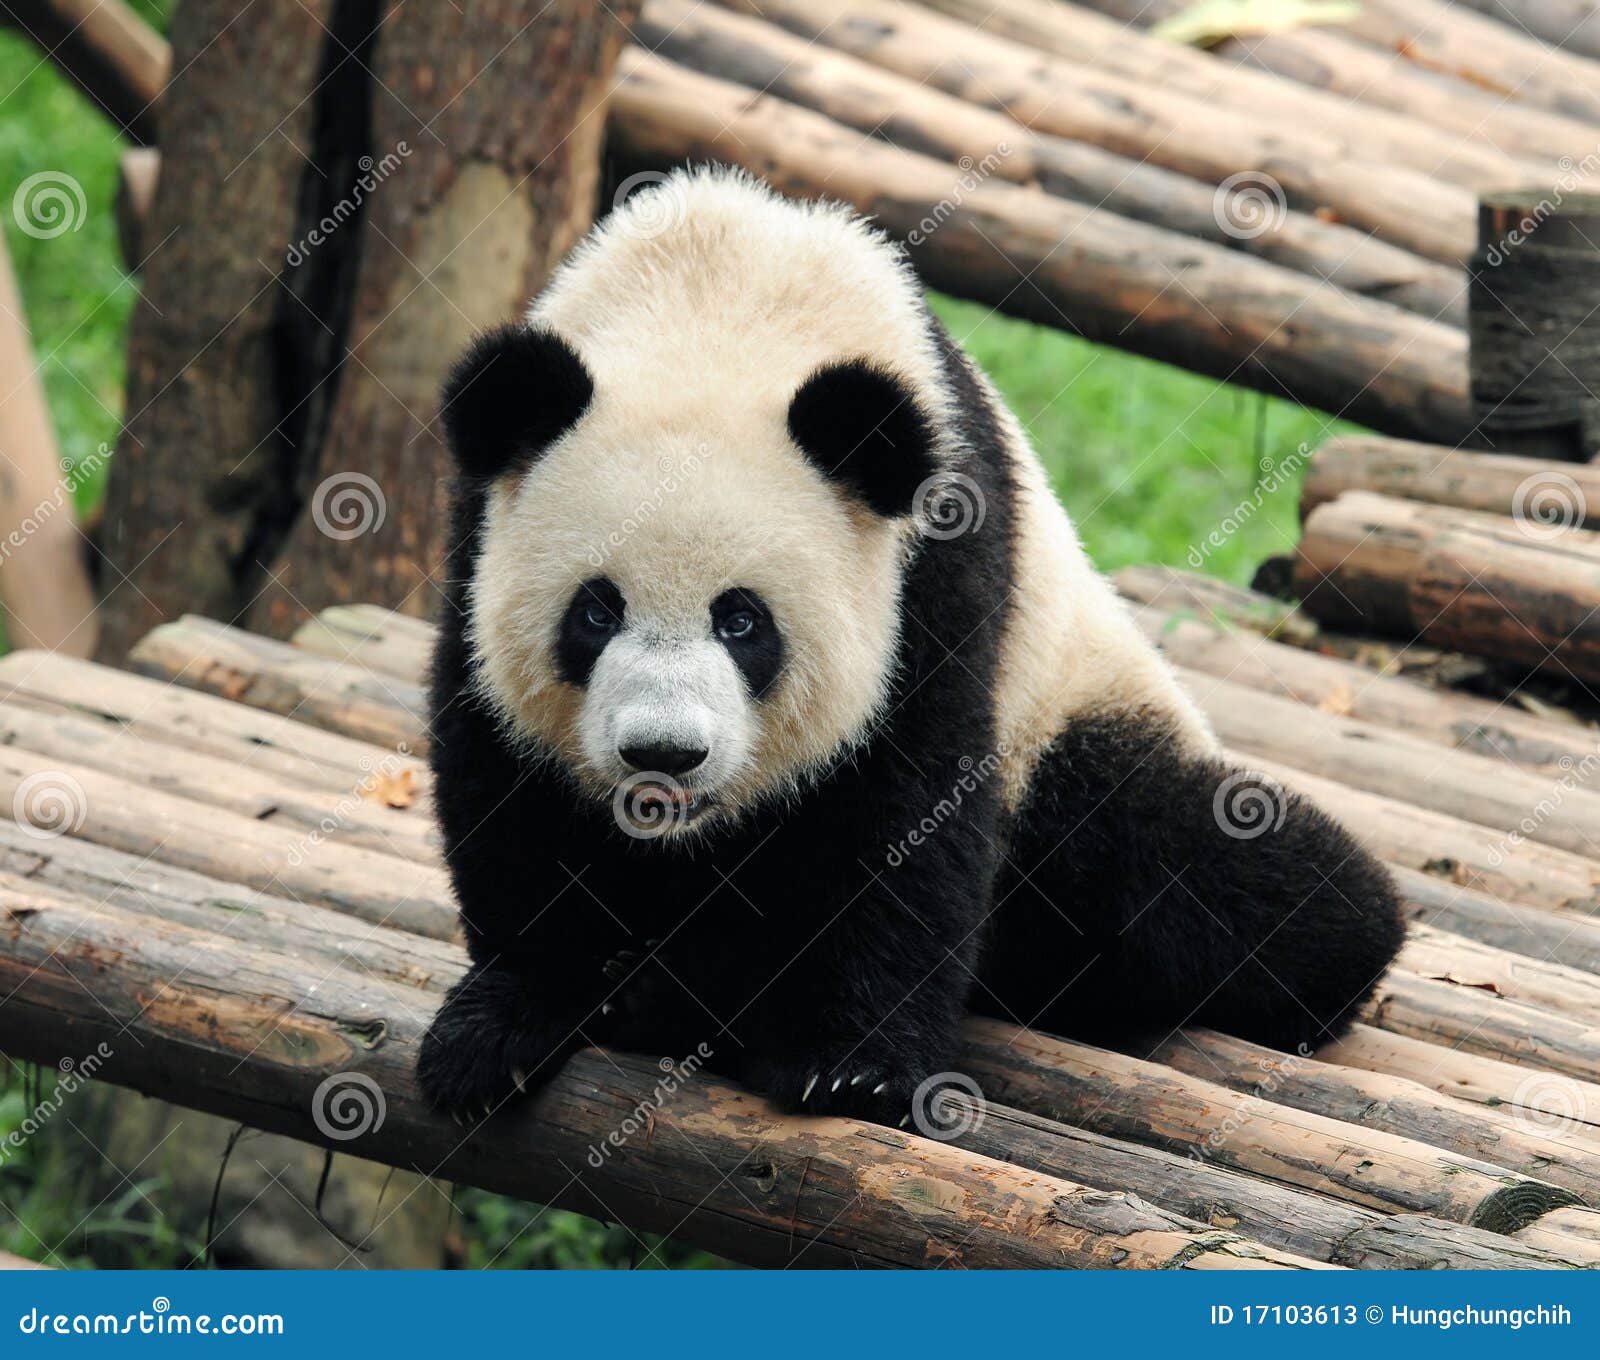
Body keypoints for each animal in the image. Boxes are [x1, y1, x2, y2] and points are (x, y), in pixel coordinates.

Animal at [417, 167, 1404, 1124]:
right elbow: (501, 773)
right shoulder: (476, 534)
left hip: (1078, 726)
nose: (664, 754)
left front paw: (853, 1065)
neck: (722, 301)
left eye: (742, 621)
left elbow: (910, 806)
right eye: (595, 612)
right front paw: (506, 1020)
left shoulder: (937, 565)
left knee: (1219, 876)